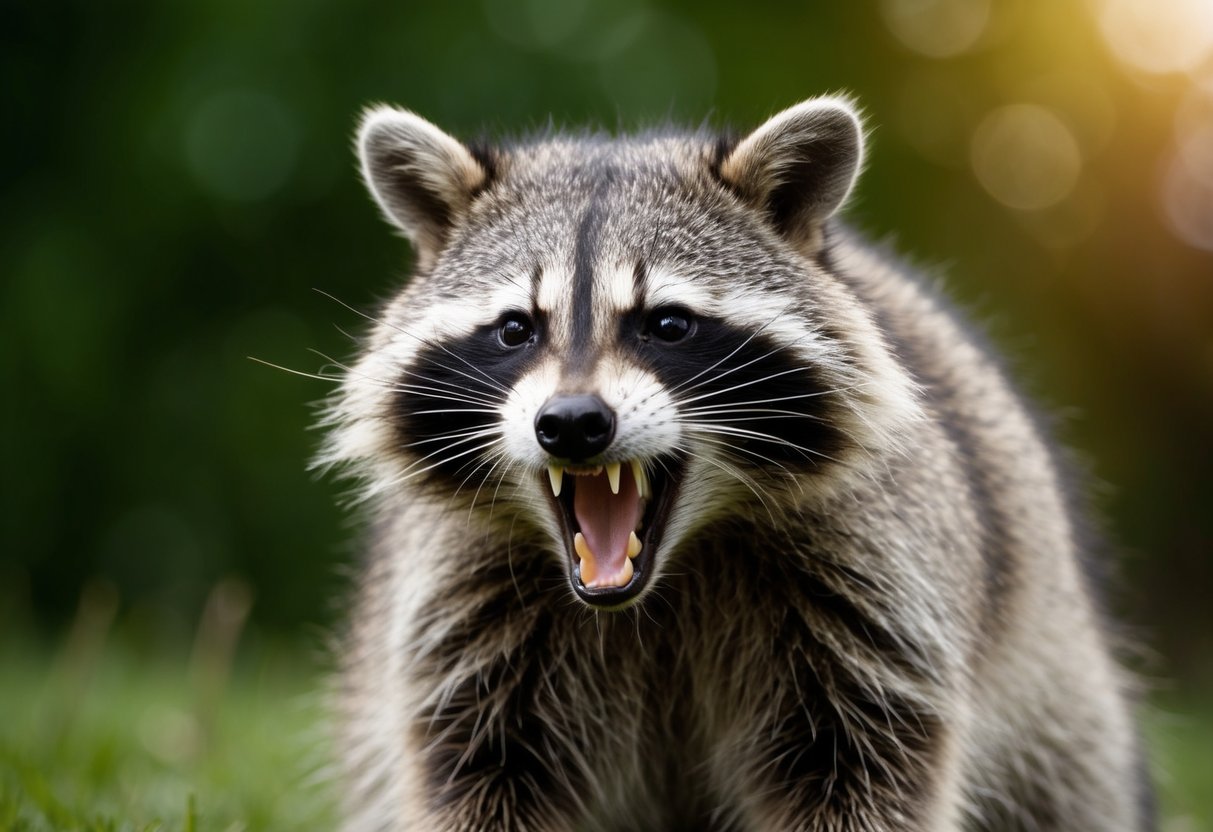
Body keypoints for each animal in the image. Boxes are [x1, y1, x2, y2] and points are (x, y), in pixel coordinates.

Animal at [322, 97, 1154, 831]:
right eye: (515, 330)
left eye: (666, 324)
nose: (571, 425)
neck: (662, 580)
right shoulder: (461, 620)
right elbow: (479, 773)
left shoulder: (878, 596)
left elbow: (857, 775)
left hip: (1060, 696)